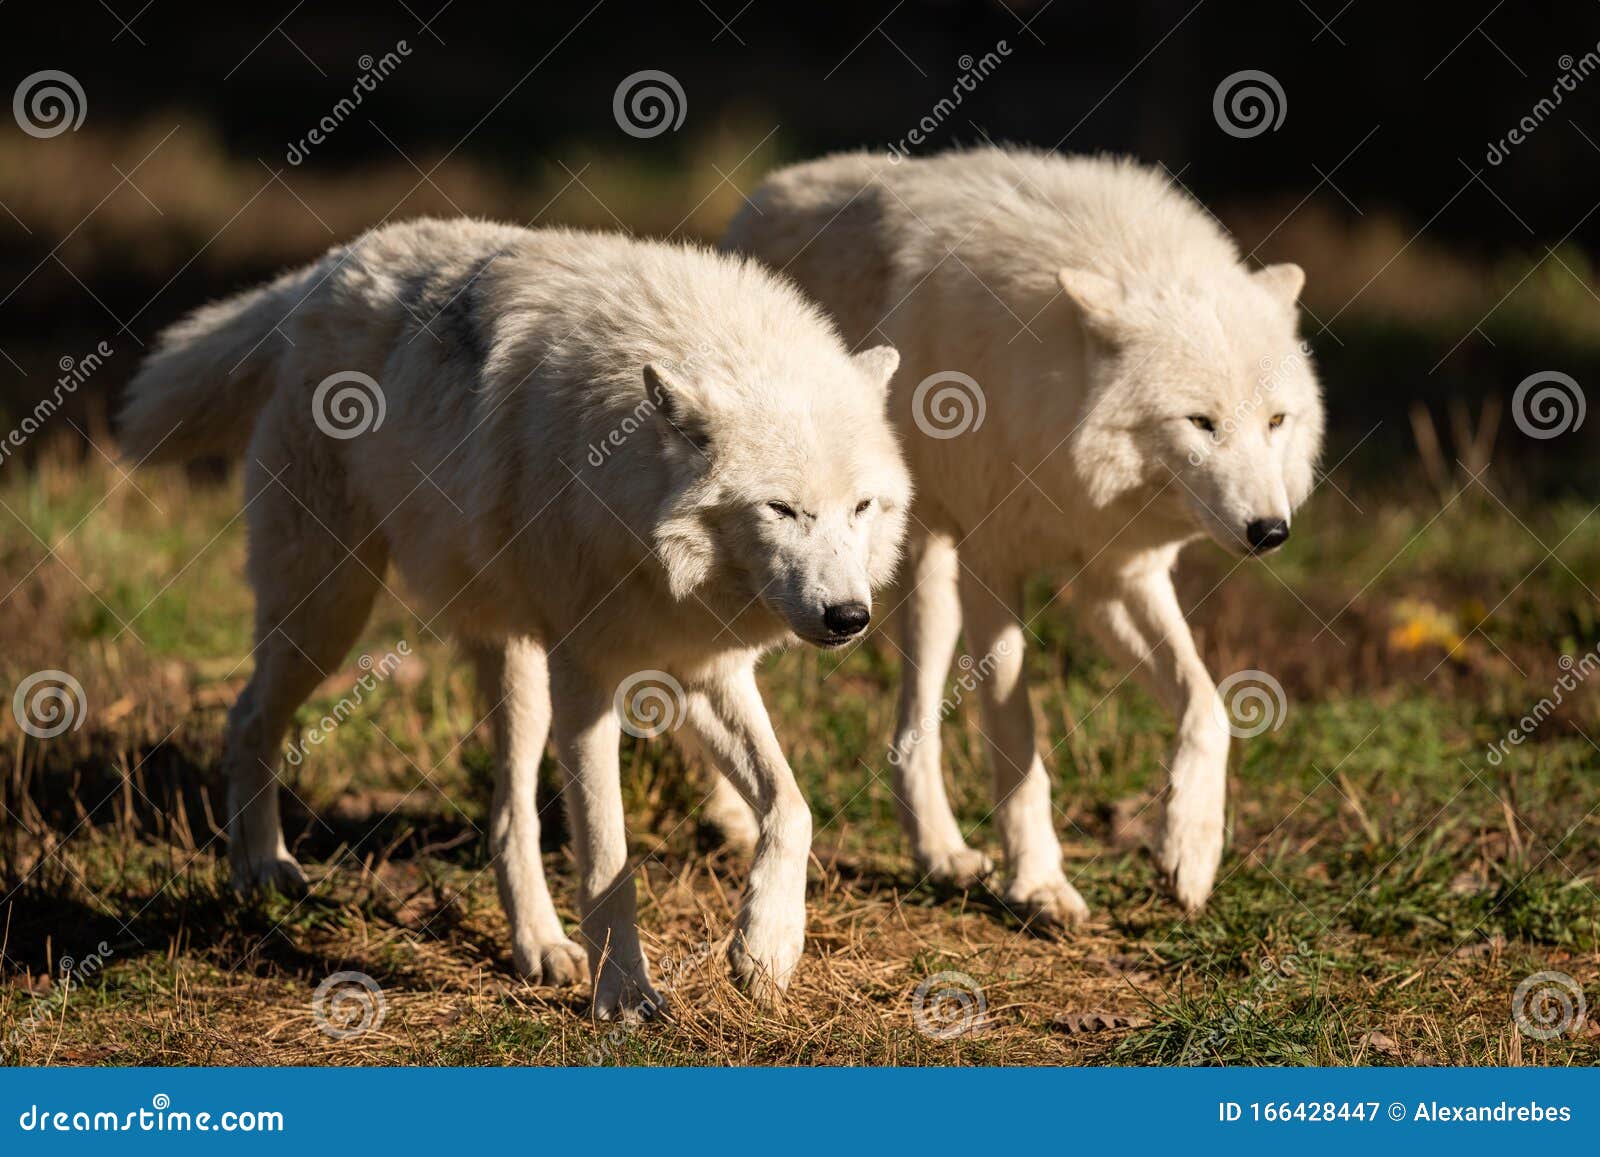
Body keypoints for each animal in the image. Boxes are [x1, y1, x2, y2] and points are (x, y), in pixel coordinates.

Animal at [118, 219, 911, 1017]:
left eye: (860, 507)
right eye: (781, 509)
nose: (849, 617)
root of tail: (325, 269)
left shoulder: (700, 667)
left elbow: (792, 807)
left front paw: (766, 948)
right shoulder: (588, 678)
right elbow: (607, 858)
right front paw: (626, 996)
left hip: (515, 675)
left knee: (508, 816)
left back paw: (538, 945)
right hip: (331, 612)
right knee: (248, 718)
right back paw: (259, 868)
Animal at [722, 147, 1323, 923]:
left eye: (1276, 421)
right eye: (1201, 422)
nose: (1270, 530)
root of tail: (758, 196)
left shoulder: (1114, 574)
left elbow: (1208, 707)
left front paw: (1188, 851)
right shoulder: (995, 566)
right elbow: (1017, 741)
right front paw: (1039, 884)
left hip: (927, 583)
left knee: (910, 735)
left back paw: (942, 854)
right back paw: (730, 823)